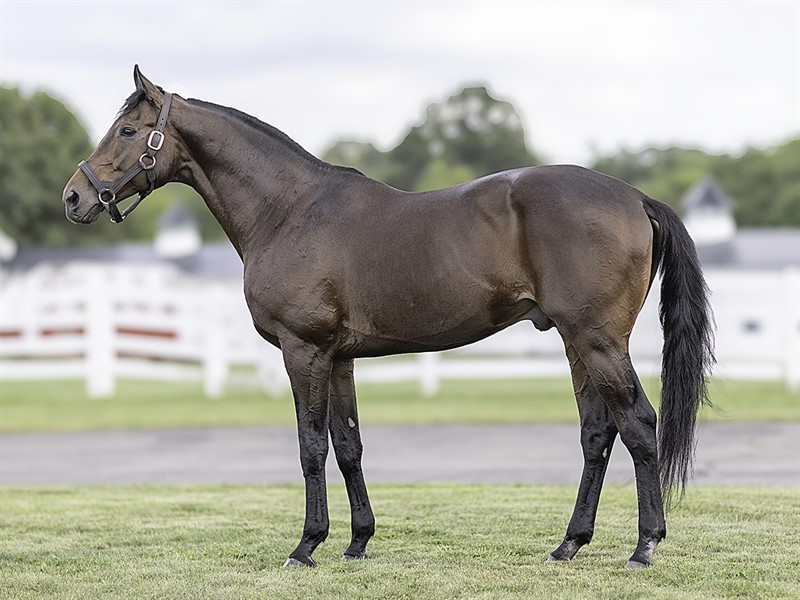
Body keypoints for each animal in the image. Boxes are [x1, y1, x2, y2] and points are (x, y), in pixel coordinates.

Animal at [63, 66, 714, 569]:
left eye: (127, 130)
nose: (74, 196)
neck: (288, 210)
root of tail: (635, 197)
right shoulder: (338, 358)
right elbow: (348, 444)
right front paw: (357, 543)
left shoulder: (303, 351)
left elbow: (310, 447)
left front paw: (306, 546)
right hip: (578, 344)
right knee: (597, 433)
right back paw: (569, 544)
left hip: (599, 341)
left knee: (639, 424)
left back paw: (644, 547)